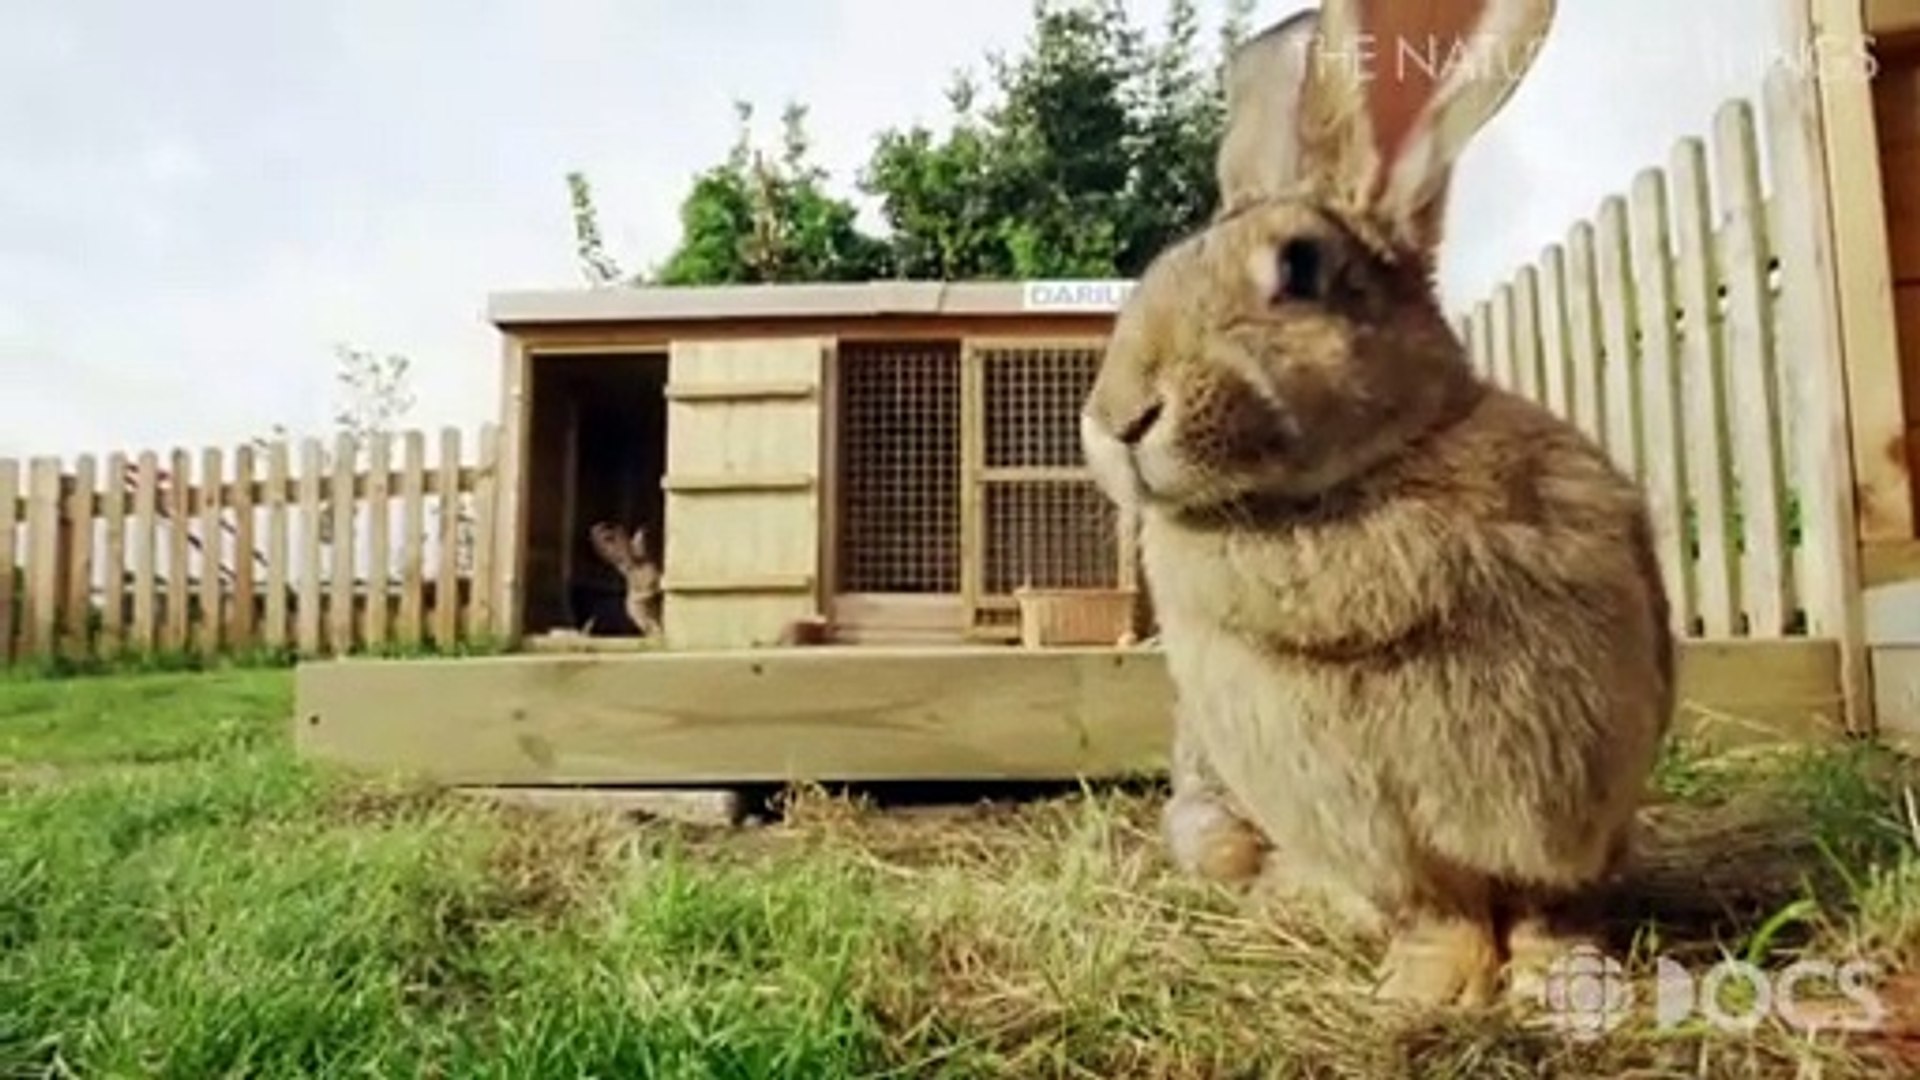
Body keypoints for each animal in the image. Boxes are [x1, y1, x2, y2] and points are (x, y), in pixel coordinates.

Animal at [1080, 0, 1674, 1009]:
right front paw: (1426, 990)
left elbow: (1547, 904)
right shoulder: (1372, 829)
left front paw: (1565, 982)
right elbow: (1436, 909)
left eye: (1300, 267)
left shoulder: (1572, 800)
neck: (1343, 489)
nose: (1120, 418)